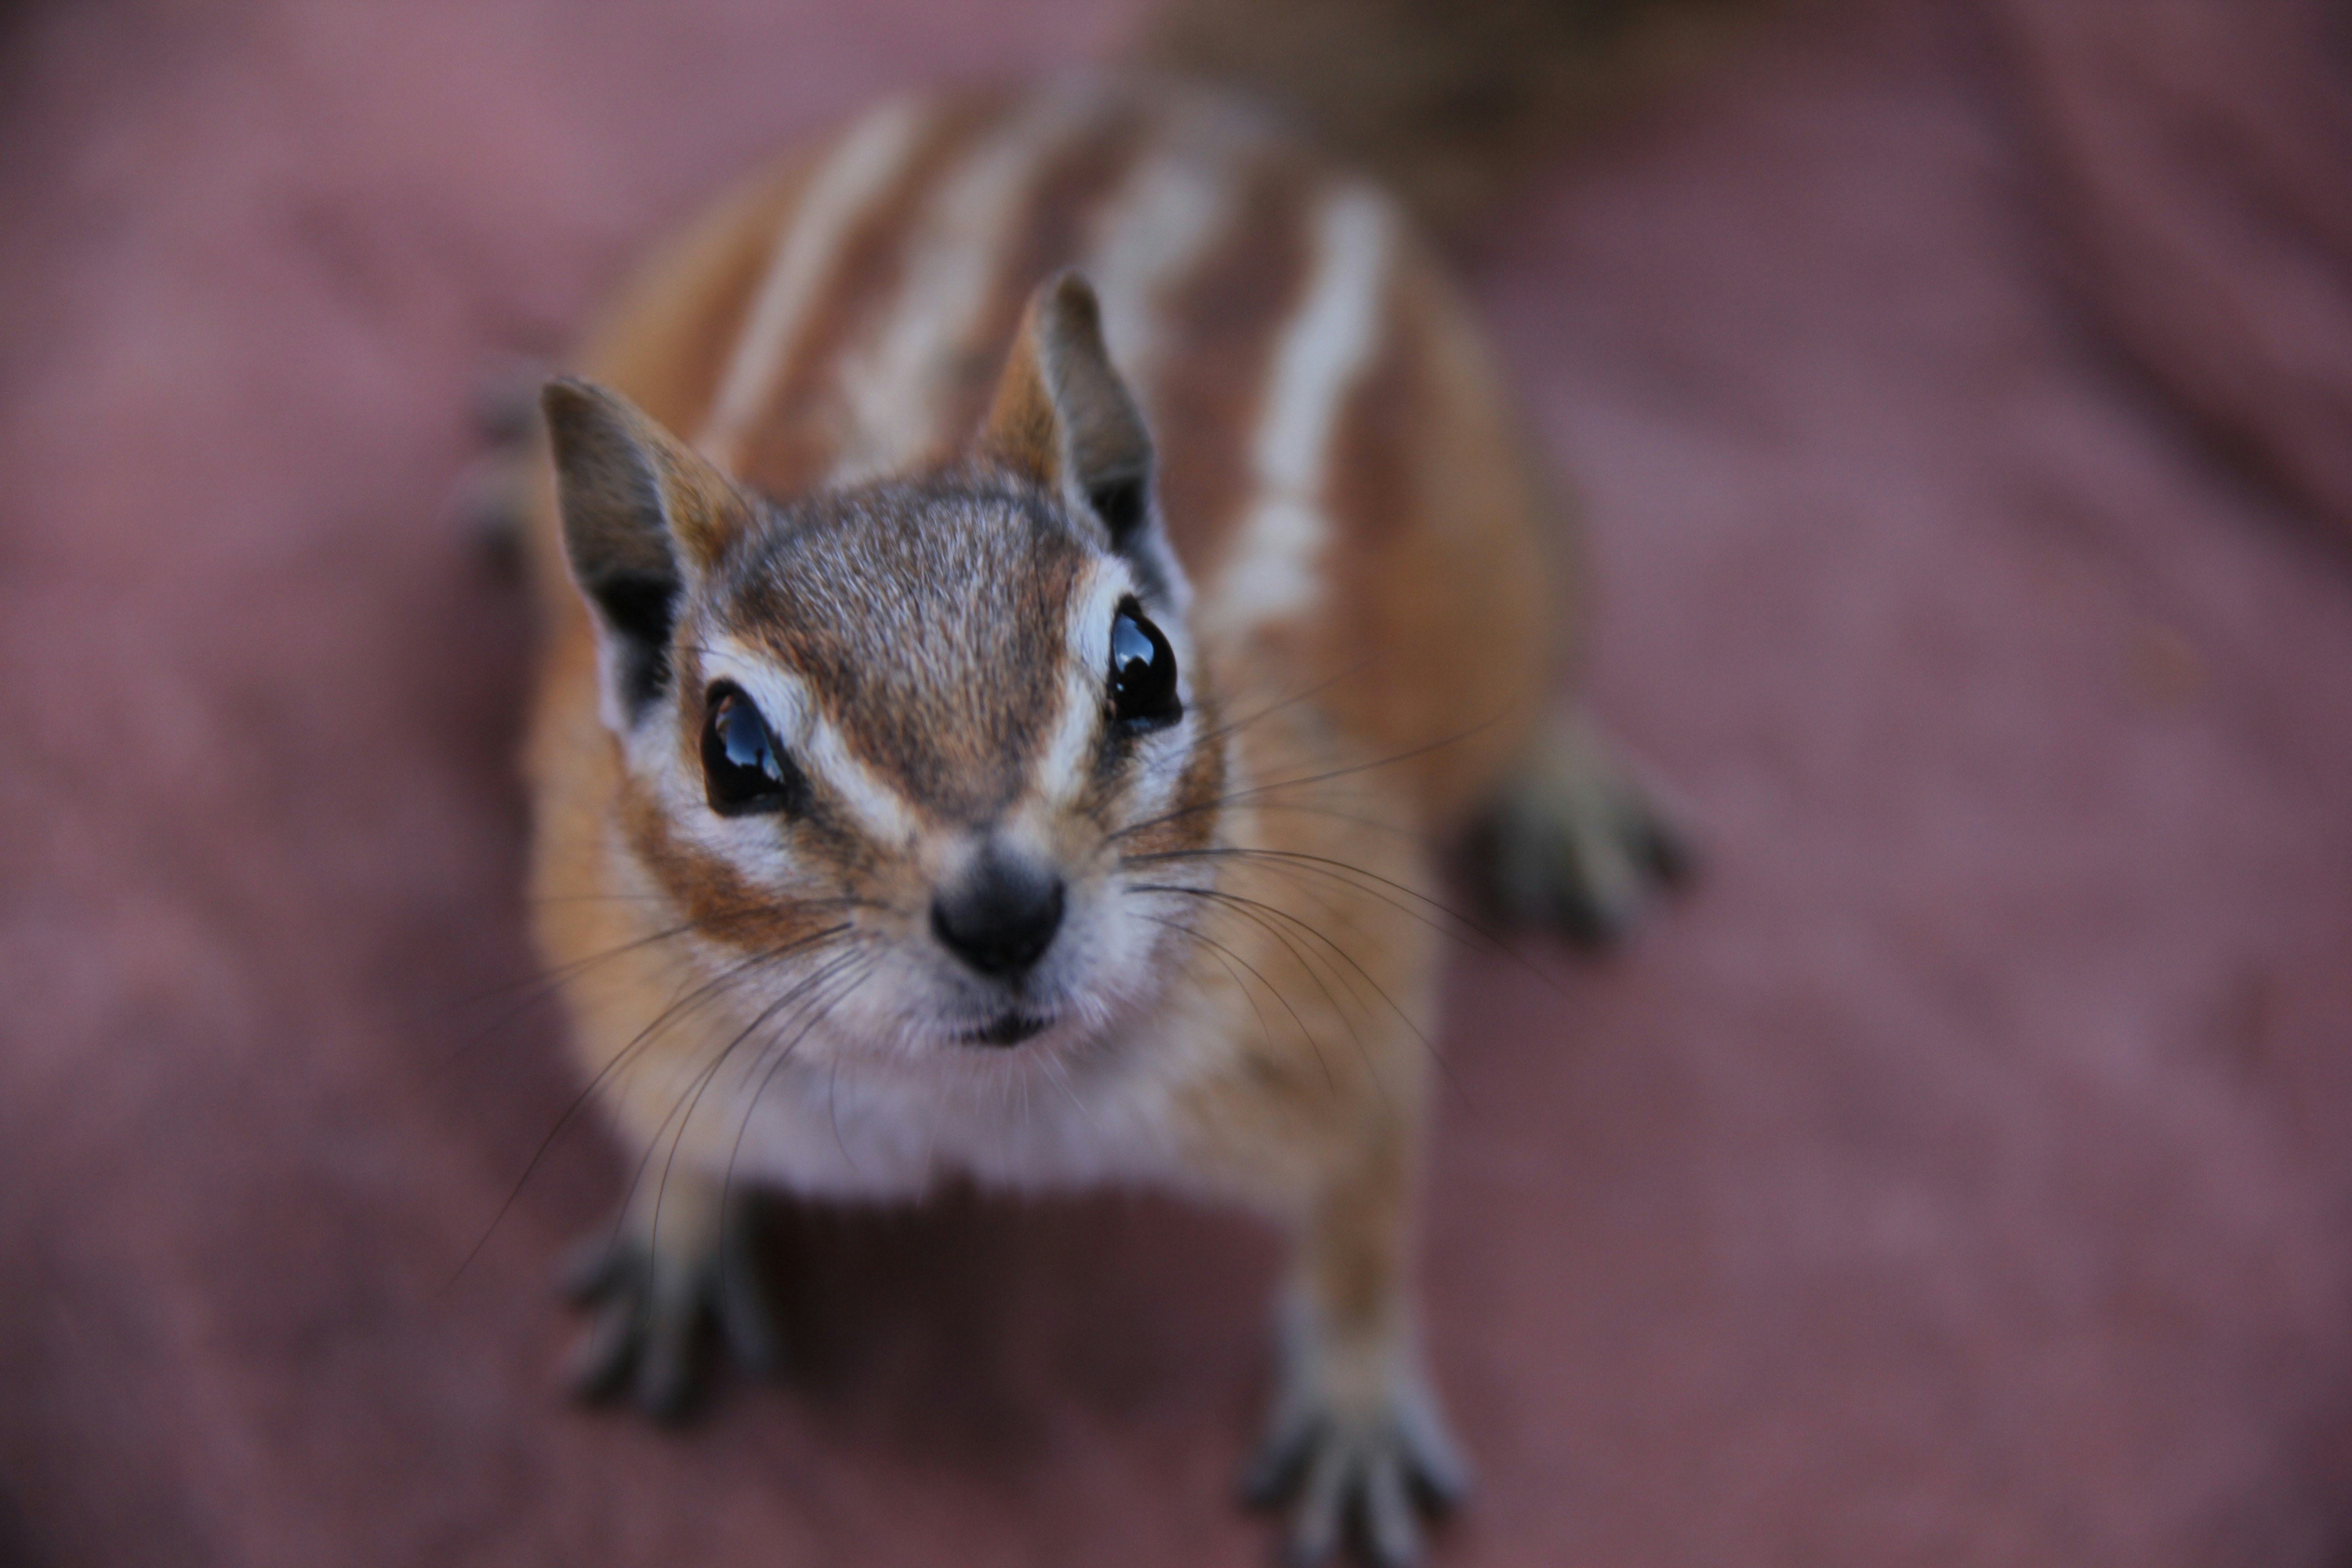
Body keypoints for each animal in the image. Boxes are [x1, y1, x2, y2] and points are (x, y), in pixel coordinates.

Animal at [516, 6, 1701, 1562]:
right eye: (733, 751)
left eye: (1145, 663)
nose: (1005, 910)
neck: (982, 1109)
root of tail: (1186, 106)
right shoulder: (628, 991)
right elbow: (675, 1137)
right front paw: (672, 1244)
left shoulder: (1339, 996)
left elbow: (1367, 1207)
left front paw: (1357, 1397)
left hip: (1492, 522)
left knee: (1543, 628)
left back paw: (1561, 785)